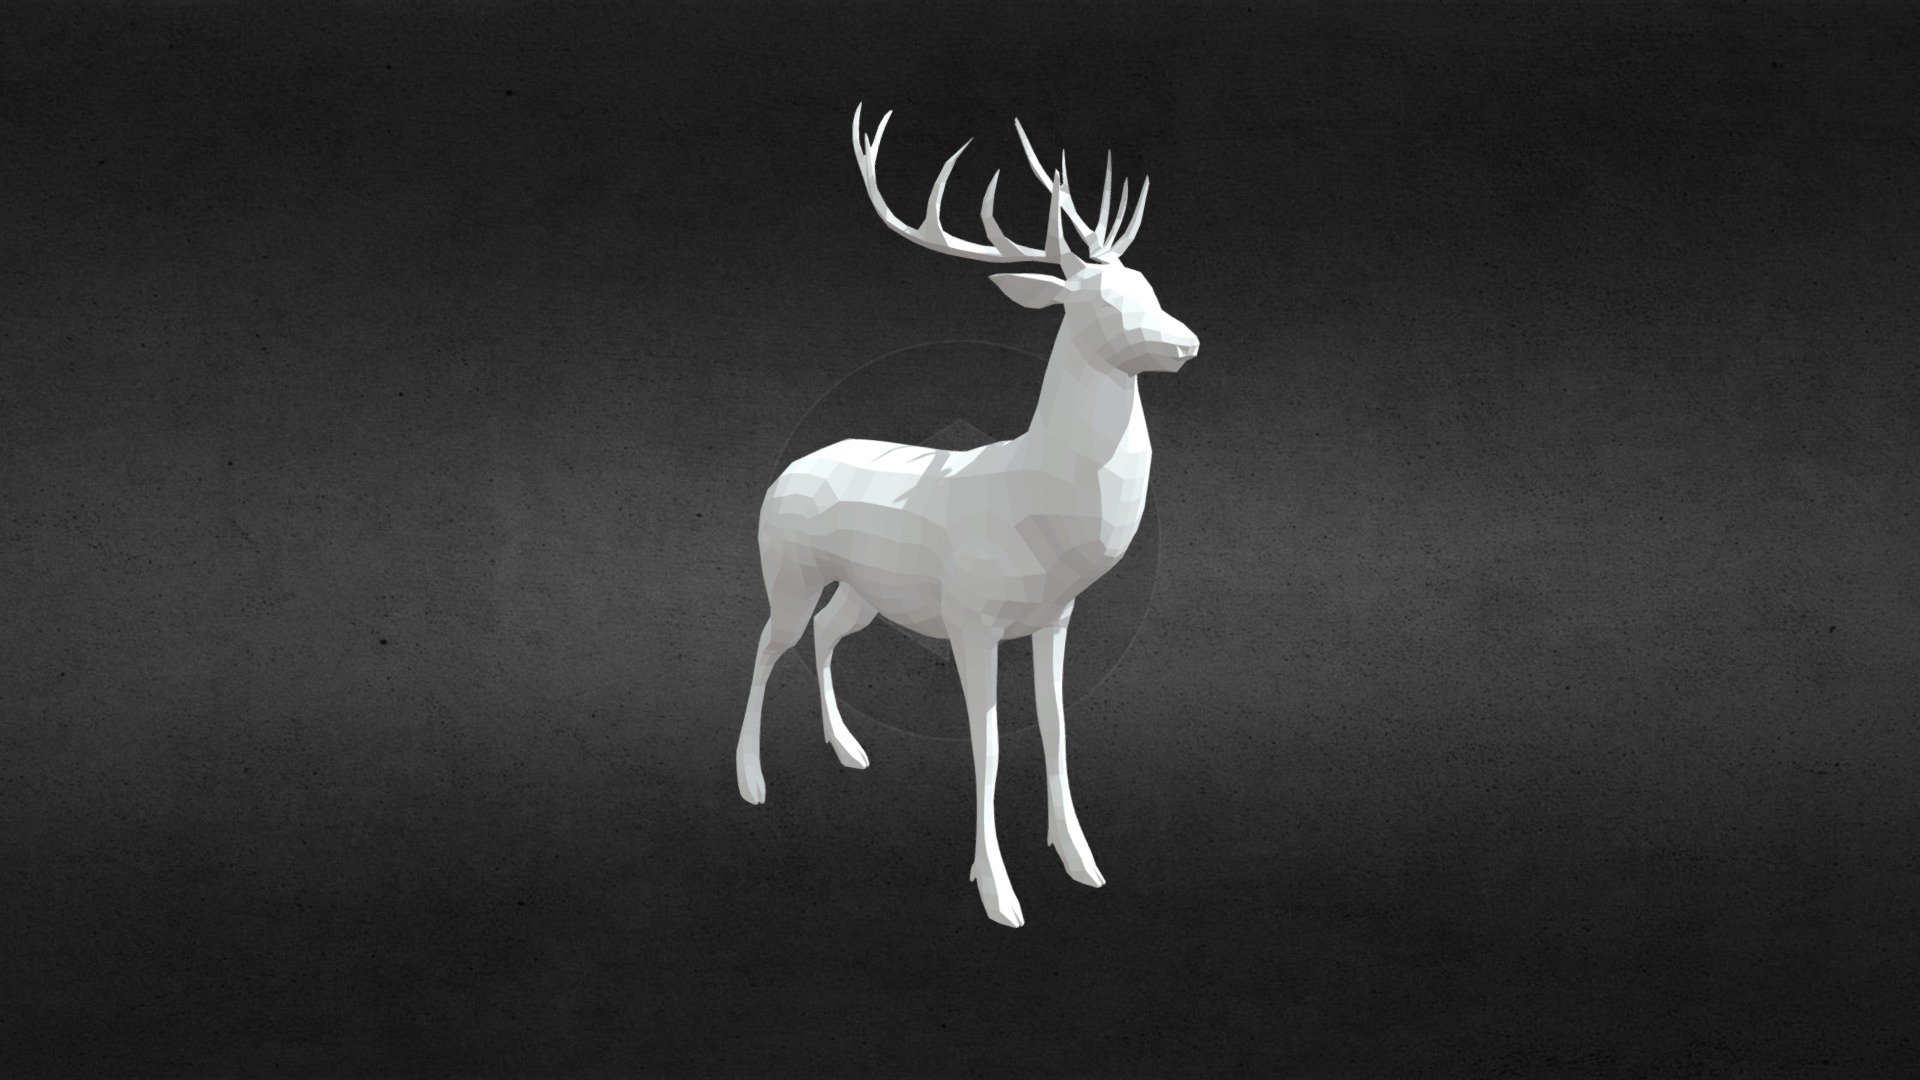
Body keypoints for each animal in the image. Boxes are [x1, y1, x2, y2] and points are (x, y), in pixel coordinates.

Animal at [734, 104, 1199, 927]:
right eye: (1099, 302)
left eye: (1148, 283)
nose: (1187, 343)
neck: (1042, 508)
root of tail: (787, 469)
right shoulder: (970, 618)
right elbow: (990, 746)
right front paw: (998, 892)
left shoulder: (1055, 616)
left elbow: (1055, 729)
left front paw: (1080, 859)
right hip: (785, 568)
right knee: (767, 643)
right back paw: (751, 781)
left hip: (865, 590)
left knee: (824, 633)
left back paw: (848, 750)